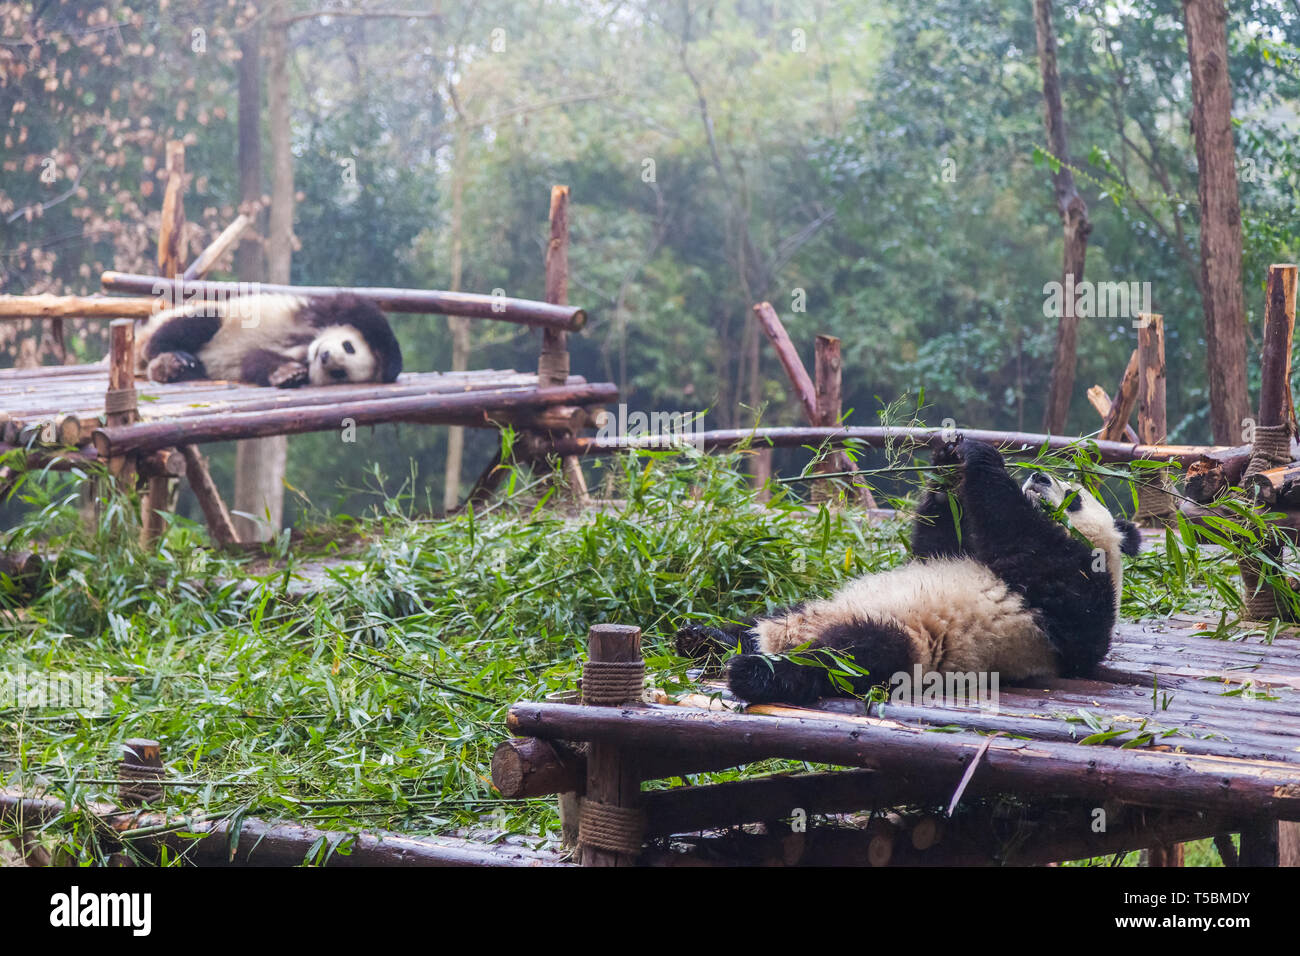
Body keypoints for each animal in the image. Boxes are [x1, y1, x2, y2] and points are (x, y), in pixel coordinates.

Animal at [134, 292, 403, 388]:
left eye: (340, 372)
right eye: (349, 346)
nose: (325, 356)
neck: (308, 344)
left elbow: (256, 360)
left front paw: (288, 374)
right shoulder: (319, 311)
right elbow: (358, 308)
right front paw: (390, 363)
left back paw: (169, 367)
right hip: (218, 316)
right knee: (201, 322)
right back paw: (165, 352)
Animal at [676, 436, 1142, 706]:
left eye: (1076, 498)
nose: (1039, 477)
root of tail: (787, 637)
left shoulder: (1074, 589)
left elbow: (1020, 535)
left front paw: (981, 456)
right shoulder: (955, 551)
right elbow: (938, 541)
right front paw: (946, 458)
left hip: (907, 640)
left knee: (847, 656)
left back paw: (754, 672)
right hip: (808, 608)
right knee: (758, 623)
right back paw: (704, 638)